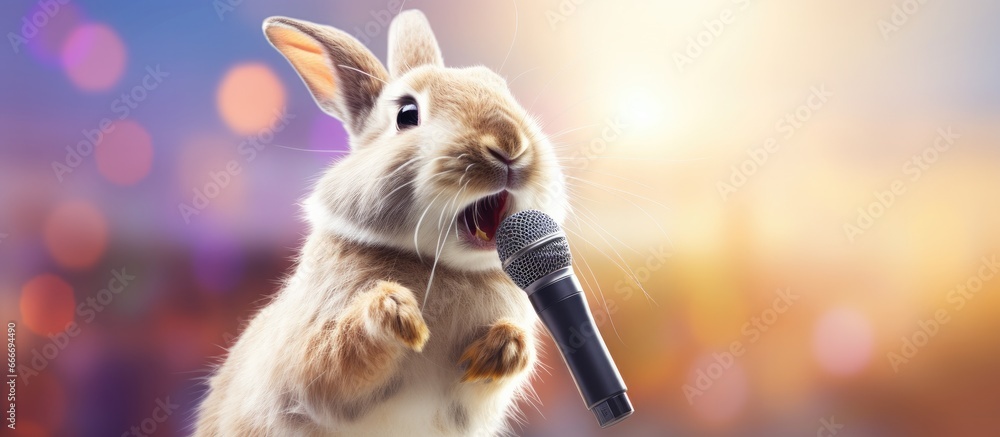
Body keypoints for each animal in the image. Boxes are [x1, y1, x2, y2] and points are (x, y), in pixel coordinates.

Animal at [194, 9, 570, 437]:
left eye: (503, 90)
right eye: (407, 114)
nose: (509, 145)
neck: (440, 266)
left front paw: (504, 348)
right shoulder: (306, 368)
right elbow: (333, 358)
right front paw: (399, 316)